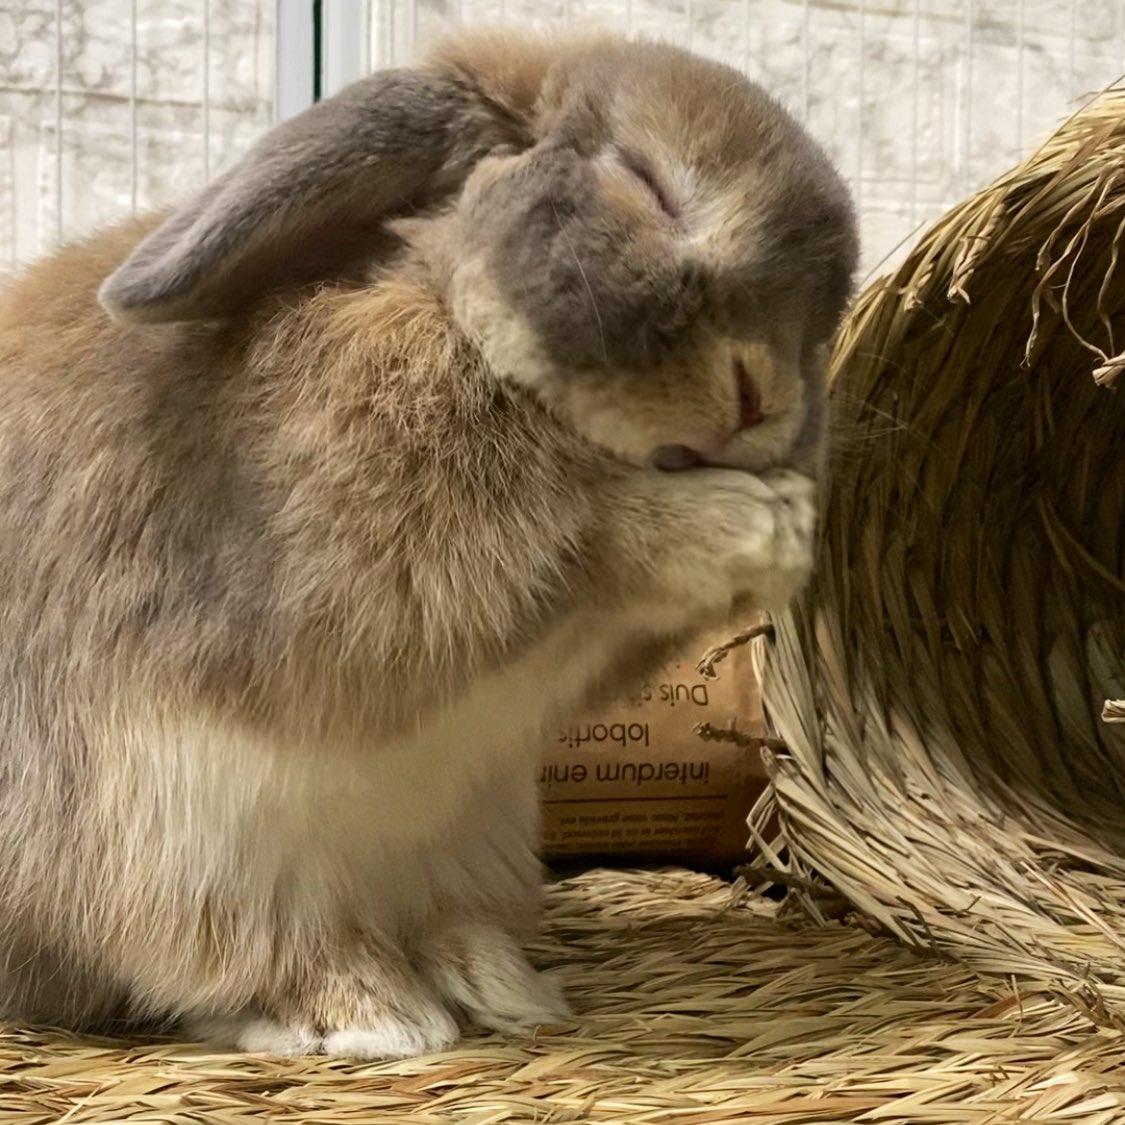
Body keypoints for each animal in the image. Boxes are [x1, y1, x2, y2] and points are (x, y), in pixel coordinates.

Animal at [0, 29, 856, 1057]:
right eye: (644, 182)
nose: (762, 402)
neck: (447, 306)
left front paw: (789, 518)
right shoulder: (383, 560)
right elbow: (585, 530)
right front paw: (758, 524)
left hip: (466, 834)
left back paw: (493, 981)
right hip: (172, 842)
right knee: (204, 953)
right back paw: (370, 1012)